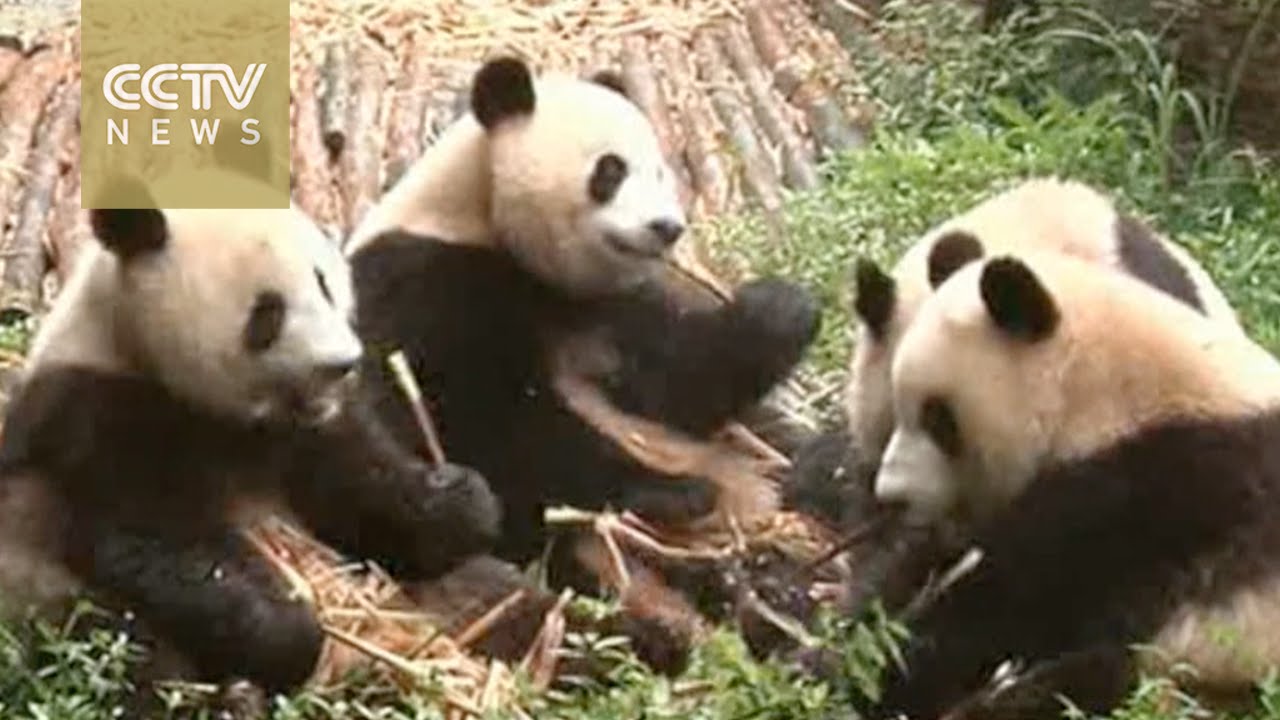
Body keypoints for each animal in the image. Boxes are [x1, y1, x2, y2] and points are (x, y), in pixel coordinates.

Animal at [0, 171, 501, 707]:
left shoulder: (302, 434)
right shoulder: (96, 422)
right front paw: (294, 634)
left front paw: (460, 502)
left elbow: (361, 483)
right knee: (118, 646)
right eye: (268, 312)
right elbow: (163, 545)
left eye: (323, 282)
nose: (343, 362)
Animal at [346, 56, 820, 568]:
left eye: (660, 171)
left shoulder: (610, 304)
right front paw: (673, 490)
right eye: (611, 170)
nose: (667, 227)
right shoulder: (422, 279)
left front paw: (781, 308)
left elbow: (679, 386)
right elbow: (485, 420)